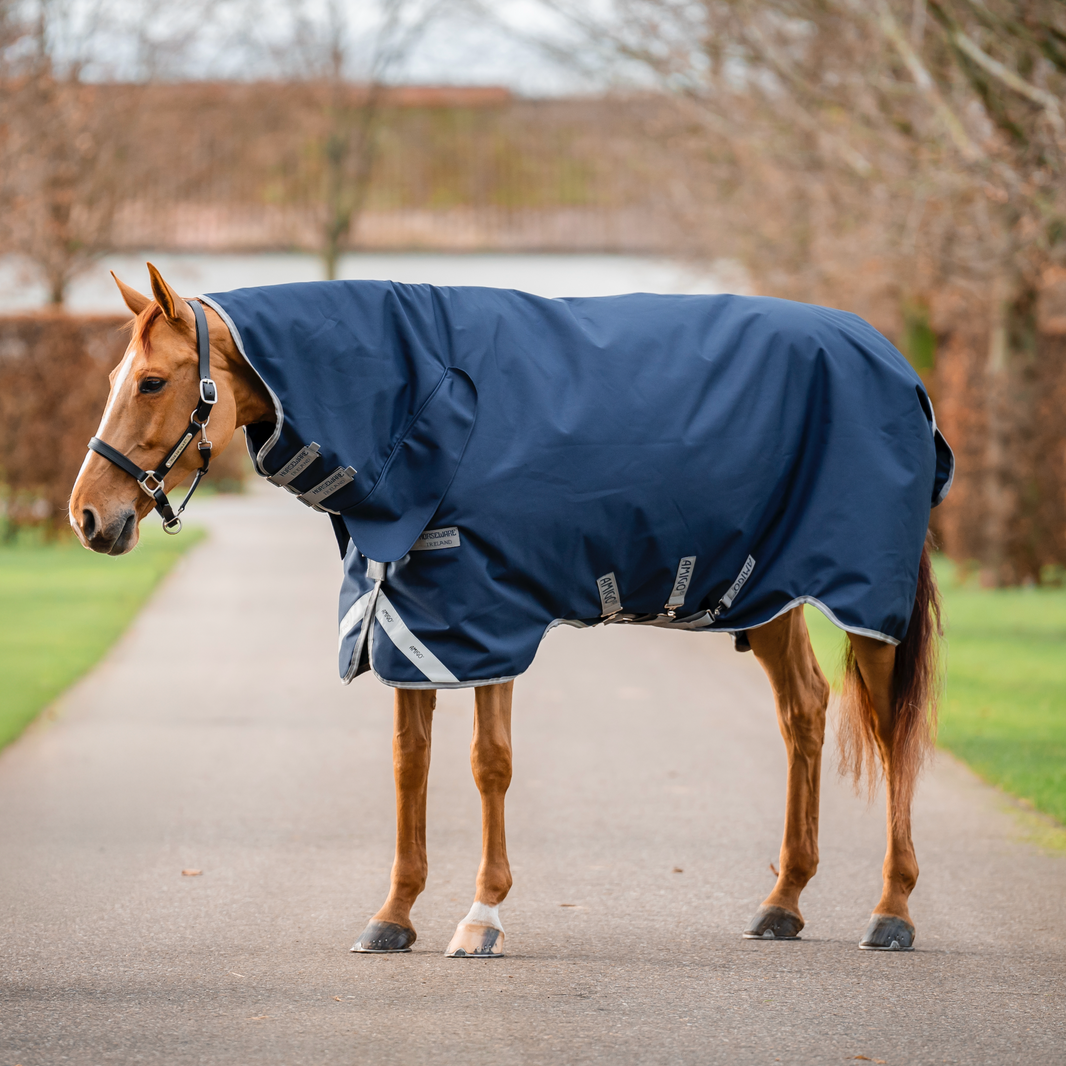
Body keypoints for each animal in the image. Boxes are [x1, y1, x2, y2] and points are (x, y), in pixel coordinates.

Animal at [70, 263, 947, 957]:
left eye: (152, 381)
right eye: (110, 381)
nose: (87, 517)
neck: (418, 399)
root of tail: (897, 367)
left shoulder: (488, 617)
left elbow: (488, 763)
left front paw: (482, 916)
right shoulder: (410, 618)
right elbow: (409, 764)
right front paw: (394, 916)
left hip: (863, 602)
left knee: (891, 733)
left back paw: (892, 911)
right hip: (766, 595)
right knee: (805, 710)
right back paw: (783, 902)